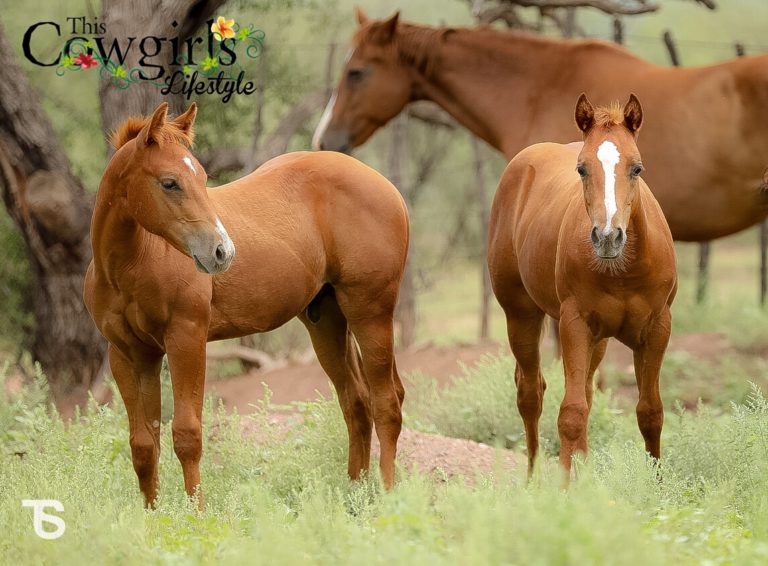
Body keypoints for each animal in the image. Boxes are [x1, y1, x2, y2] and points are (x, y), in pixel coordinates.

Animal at [84, 102, 409, 507]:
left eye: (203, 176)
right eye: (169, 182)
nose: (222, 251)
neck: (132, 263)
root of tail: (389, 189)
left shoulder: (186, 340)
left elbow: (187, 435)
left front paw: (196, 514)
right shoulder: (130, 355)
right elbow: (144, 445)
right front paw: (152, 515)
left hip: (371, 313)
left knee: (387, 404)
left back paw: (388, 496)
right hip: (327, 321)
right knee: (357, 403)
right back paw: (355, 495)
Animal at [487, 94, 677, 475]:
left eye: (637, 168)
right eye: (582, 169)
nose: (607, 236)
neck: (623, 273)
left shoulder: (656, 330)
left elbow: (650, 412)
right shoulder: (574, 324)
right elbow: (571, 413)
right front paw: (565, 485)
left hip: (598, 339)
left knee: (586, 392)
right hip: (521, 315)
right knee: (531, 393)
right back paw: (533, 477)